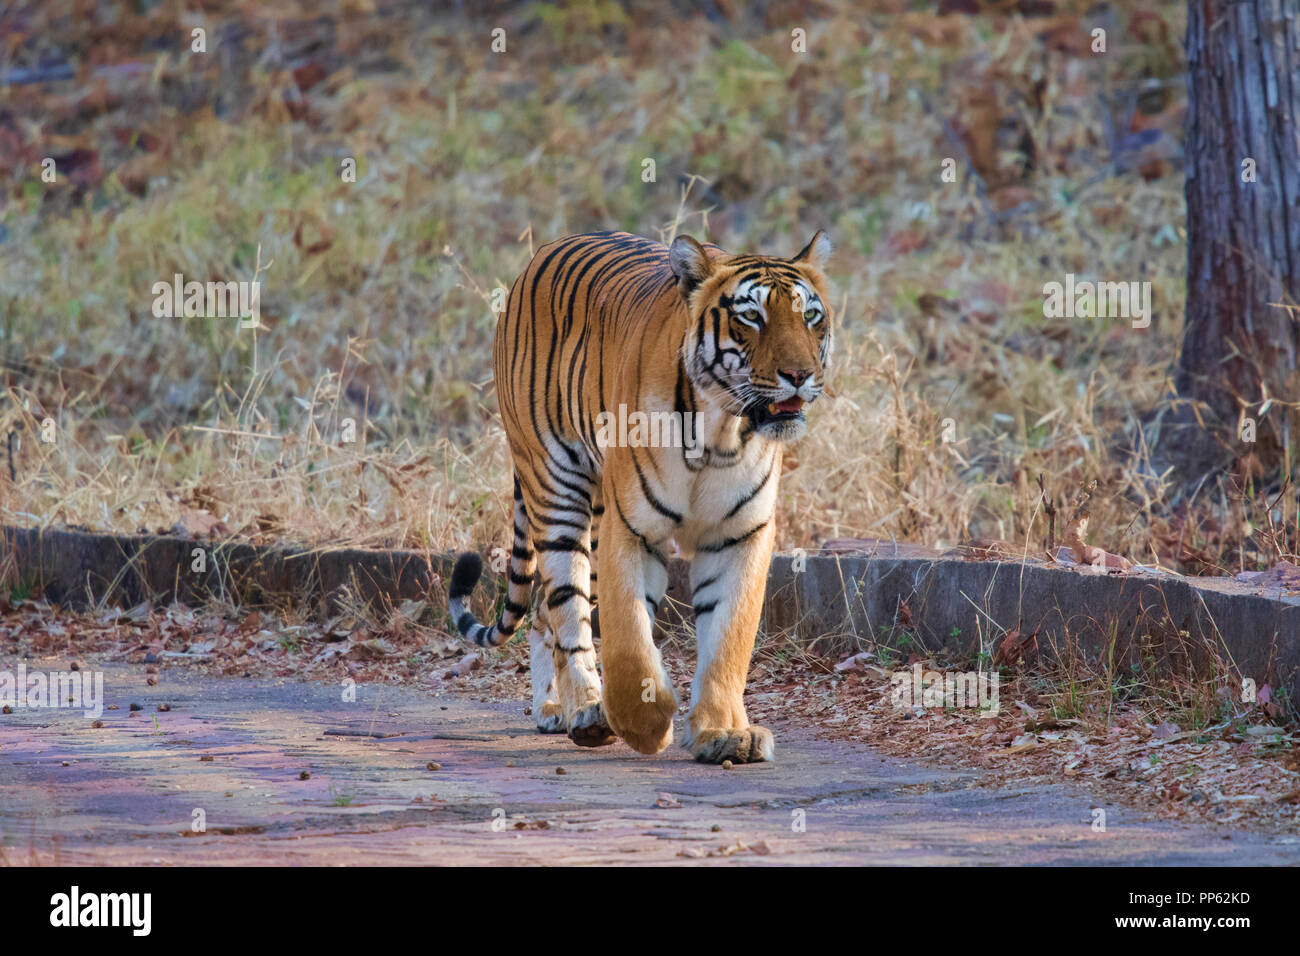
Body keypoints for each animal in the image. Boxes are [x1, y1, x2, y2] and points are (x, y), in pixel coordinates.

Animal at [448, 229, 832, 763]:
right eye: (752, 316)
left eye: (810, 317)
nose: (800, 374)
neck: (720, 433)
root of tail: (541, 254)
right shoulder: (632, 529)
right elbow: (629, 638)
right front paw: (645, 722)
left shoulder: (739, 534)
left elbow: (728, 639)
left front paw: (724, 733)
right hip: (558, 490)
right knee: (565, 610)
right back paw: (584, 711)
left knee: (545, 611)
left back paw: (556, 708)